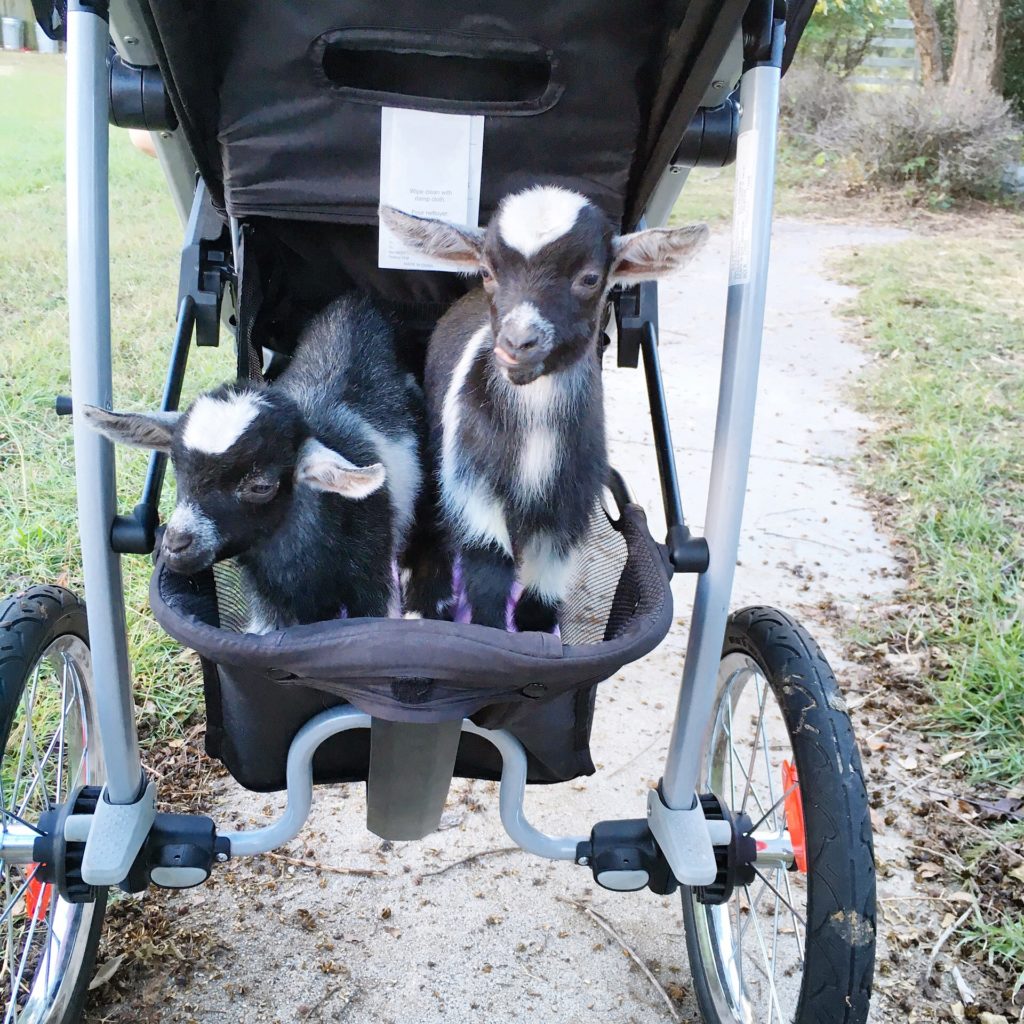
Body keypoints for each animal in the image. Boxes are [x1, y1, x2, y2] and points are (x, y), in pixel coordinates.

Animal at [84, 295, 422, 631]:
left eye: (261, 486)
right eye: (177, 468)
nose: (176, 545)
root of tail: (355, 303)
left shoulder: (373, 579)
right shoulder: (268, 601)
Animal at [381, 186, 708, 632]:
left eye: (590, 278)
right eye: (488, 271)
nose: (517, 343)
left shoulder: (572, 497)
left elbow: (547, 581)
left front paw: (535, 630)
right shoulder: (471, 479)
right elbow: (489, 562)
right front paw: (489, 630)